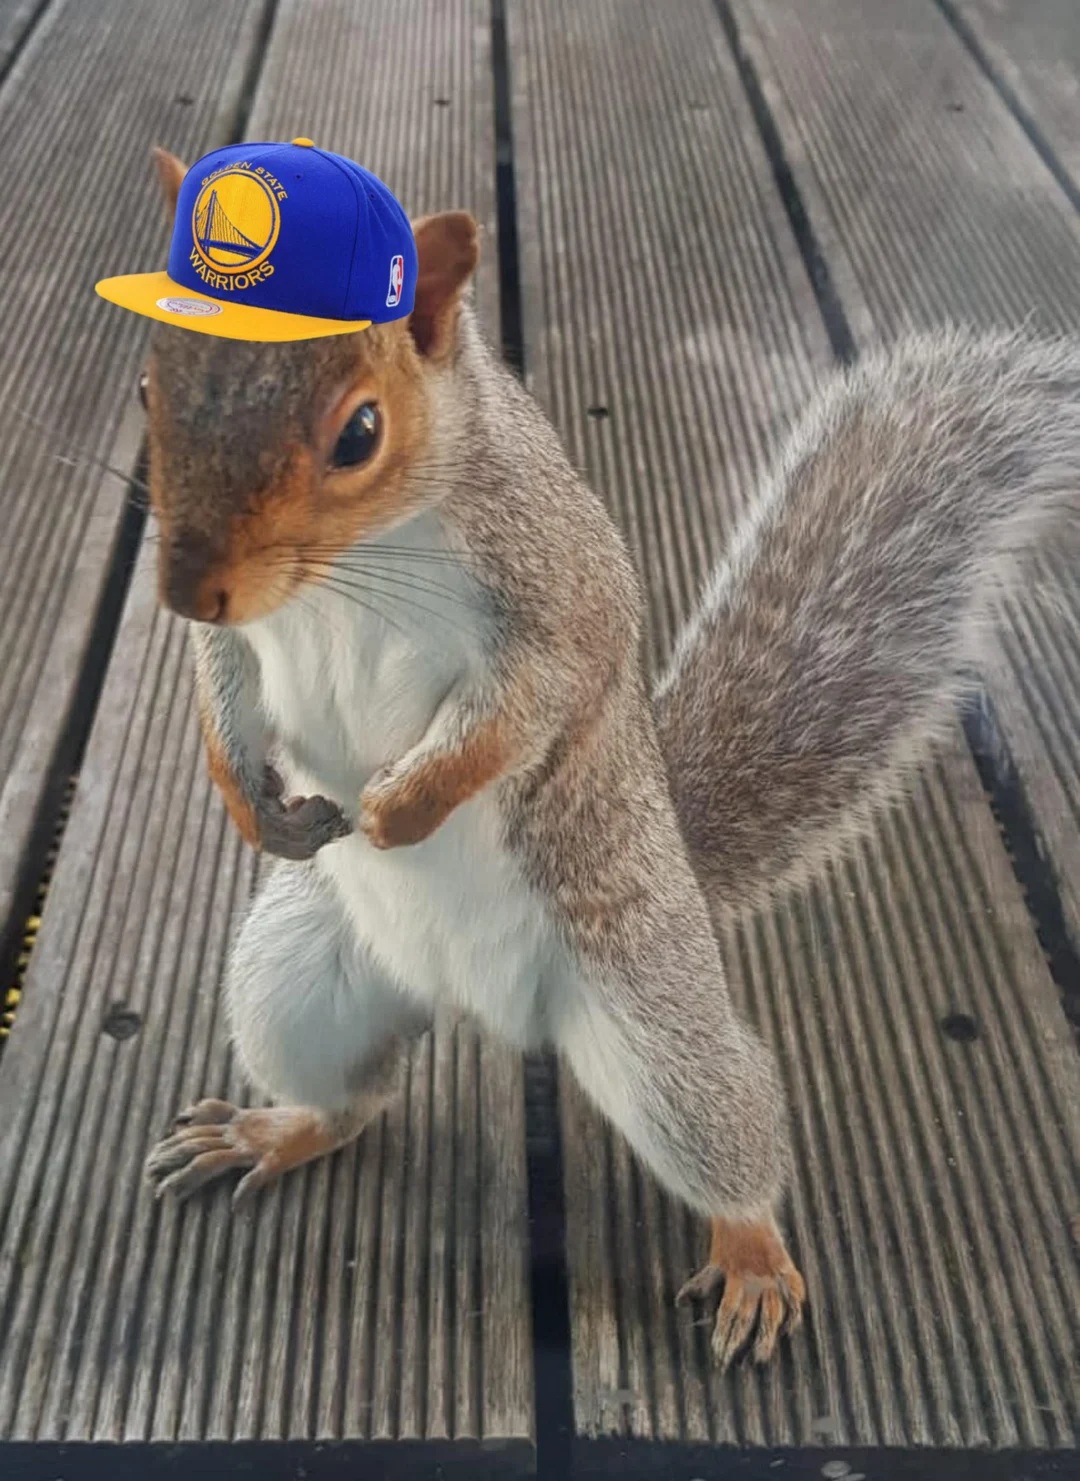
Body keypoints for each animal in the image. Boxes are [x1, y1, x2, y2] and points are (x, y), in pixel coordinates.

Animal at [137, 147, 1079, 1370]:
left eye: (358, 432)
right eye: (149, 387)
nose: (181, 585)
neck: (357, 561)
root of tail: (486, 1012)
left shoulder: (558, 590)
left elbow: (531, 706)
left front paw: (403, 807)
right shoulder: (246, 634)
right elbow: (225, 683)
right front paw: (251, 799)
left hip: (654, 1022)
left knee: (732, 1137)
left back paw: (754, 1257)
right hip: (294, 979)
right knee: (350, 1099)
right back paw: (270, 1127)